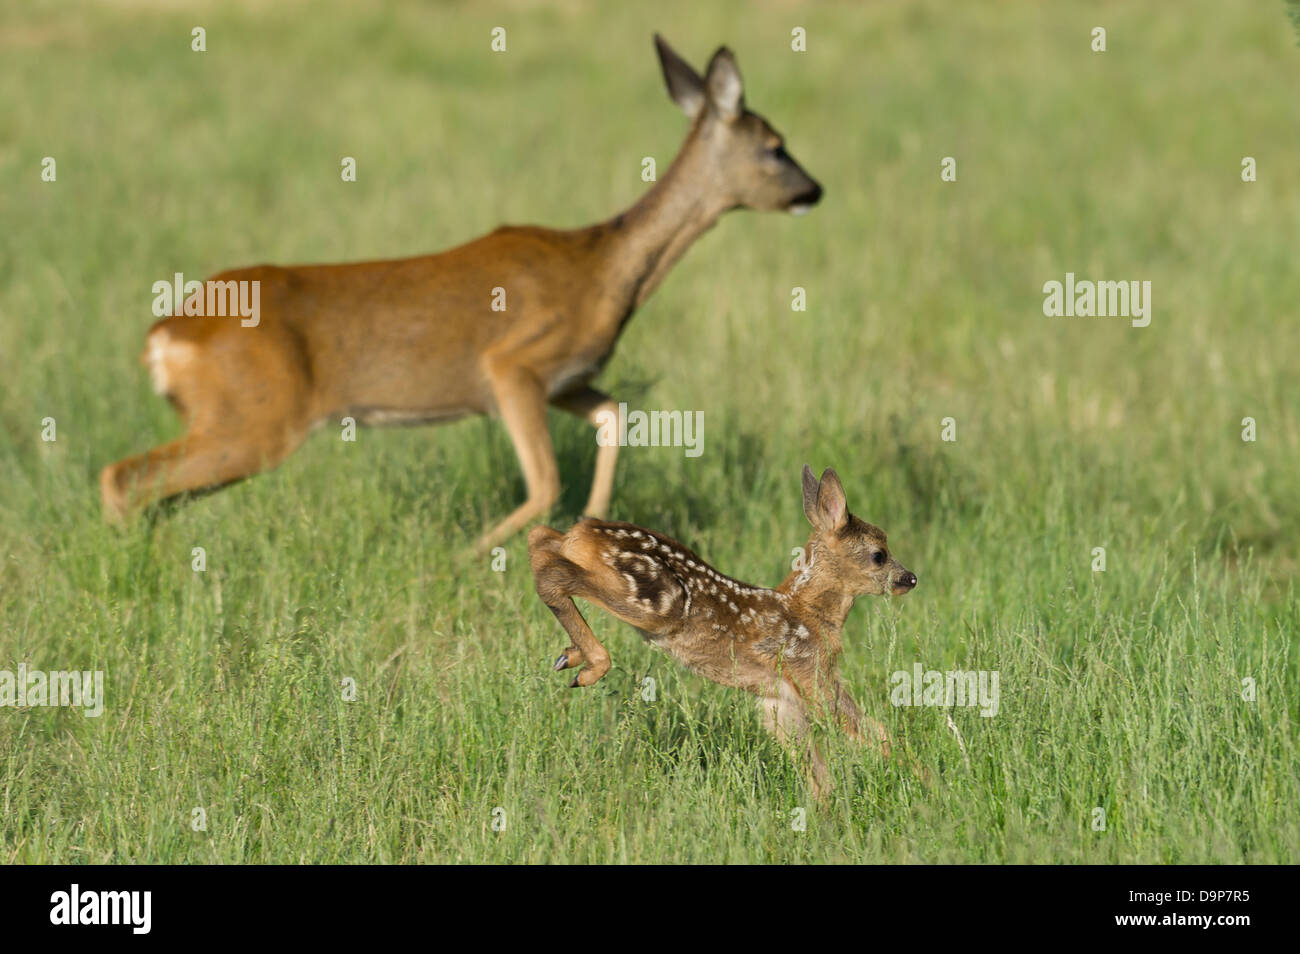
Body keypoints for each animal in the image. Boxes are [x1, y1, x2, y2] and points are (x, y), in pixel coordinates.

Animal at [99, 35, 824, 551]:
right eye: (775, 147)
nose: (814, 190)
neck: (606, 266)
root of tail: (162, 335)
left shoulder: (565, 379)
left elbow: (614, 415)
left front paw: (592, 536)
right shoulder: (512, 364)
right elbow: (544, 482)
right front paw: (466, 561)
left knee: (149, 491)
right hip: (254, 420)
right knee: (123, 478)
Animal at [528, 465, 918, 798]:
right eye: (879, 554)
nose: (910, 578)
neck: (811, 614)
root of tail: (584, 531)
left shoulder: (777, 701)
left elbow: (816, 769)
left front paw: (825, 815)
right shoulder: (810, 670)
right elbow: (871, 730)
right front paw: (922, 780)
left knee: (541, 538)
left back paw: (570, 655)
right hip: (653, 600)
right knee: (552, 572)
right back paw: (589, 666)